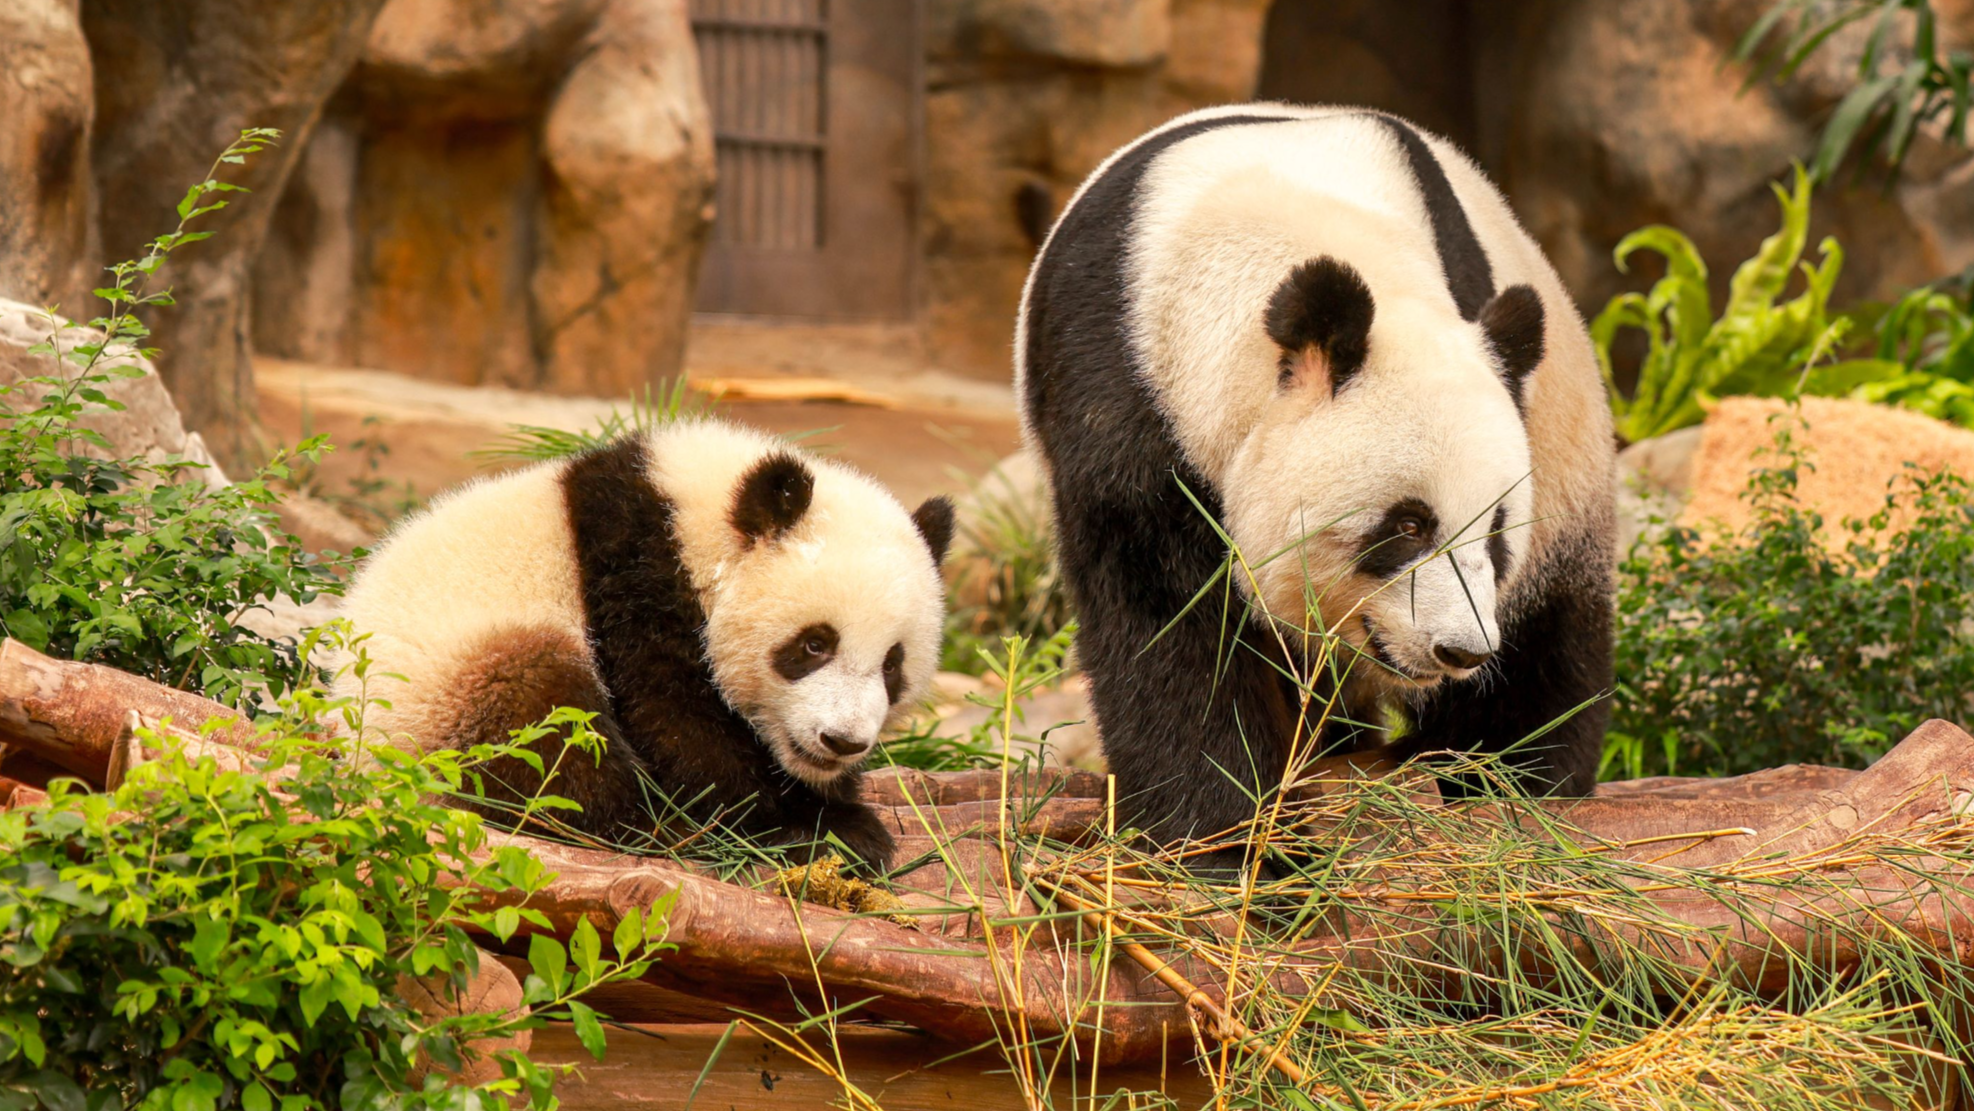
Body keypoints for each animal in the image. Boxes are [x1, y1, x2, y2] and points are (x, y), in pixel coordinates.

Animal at [335, 419, 955, 871]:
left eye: (893, 665)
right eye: (814, 645)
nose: (842, 741)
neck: (694, 519)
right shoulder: (636, 578)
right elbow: (676, 724)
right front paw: (820, 828)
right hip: (453, 688)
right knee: (546, 731)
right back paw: (658, 828)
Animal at [1016, 105, 1616, 853]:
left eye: (1497, 532)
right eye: (1408, 524)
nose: (1458, 648)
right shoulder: (1117, 387)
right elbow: (1165, 617)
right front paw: (1220, 836)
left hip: (1568, 454)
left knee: (1550, 632)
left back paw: (1515, 776)